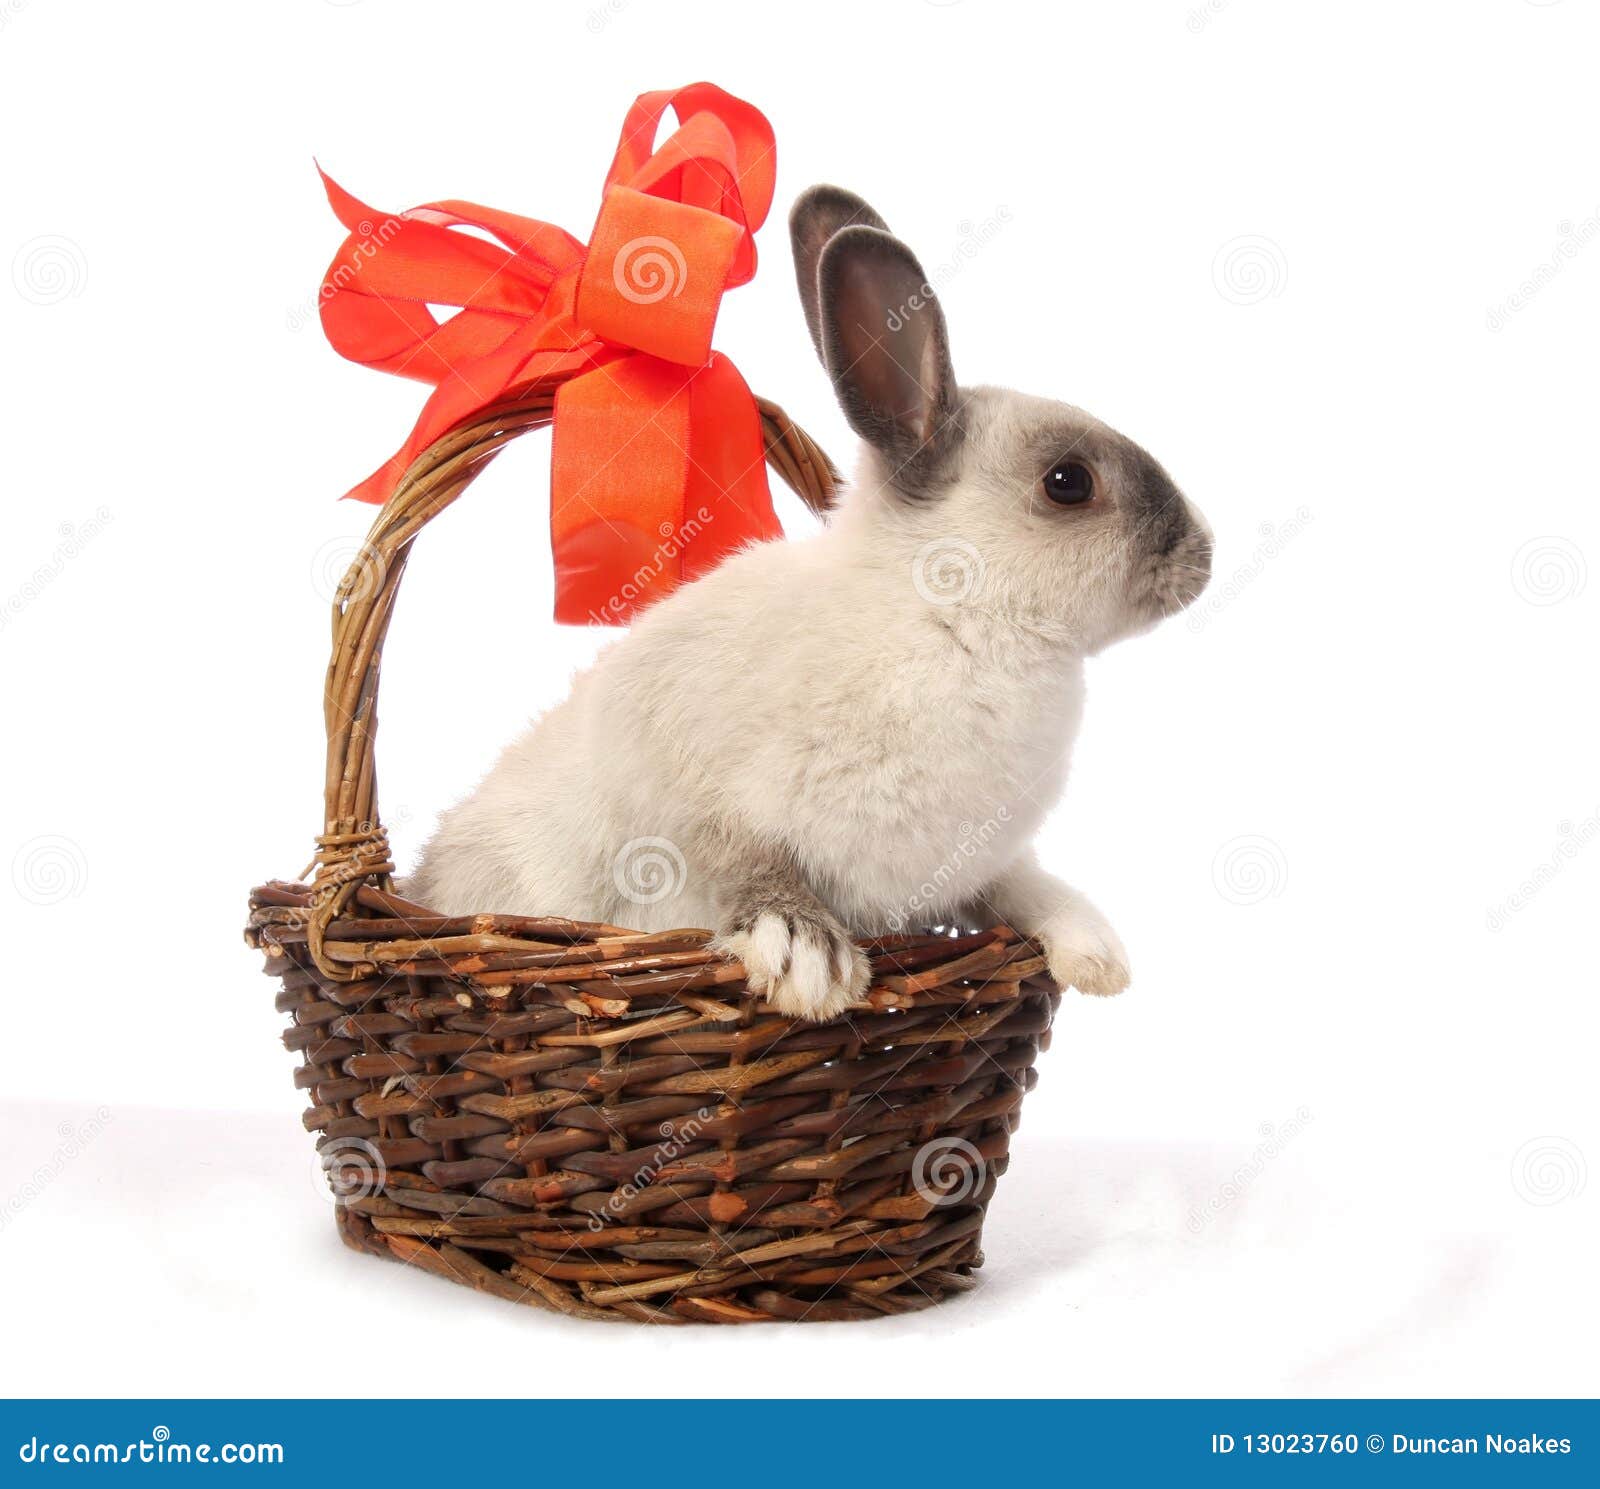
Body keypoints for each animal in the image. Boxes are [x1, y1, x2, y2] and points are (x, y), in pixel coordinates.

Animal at [405, 184, 1212, 1020]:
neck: (953, 624)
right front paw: (806, 956)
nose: (1203, 555)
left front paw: (1094, 952)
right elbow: (738, 856)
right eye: (1067, 482)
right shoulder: (685, 783)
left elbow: (1021, 883)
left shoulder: (978, 859)